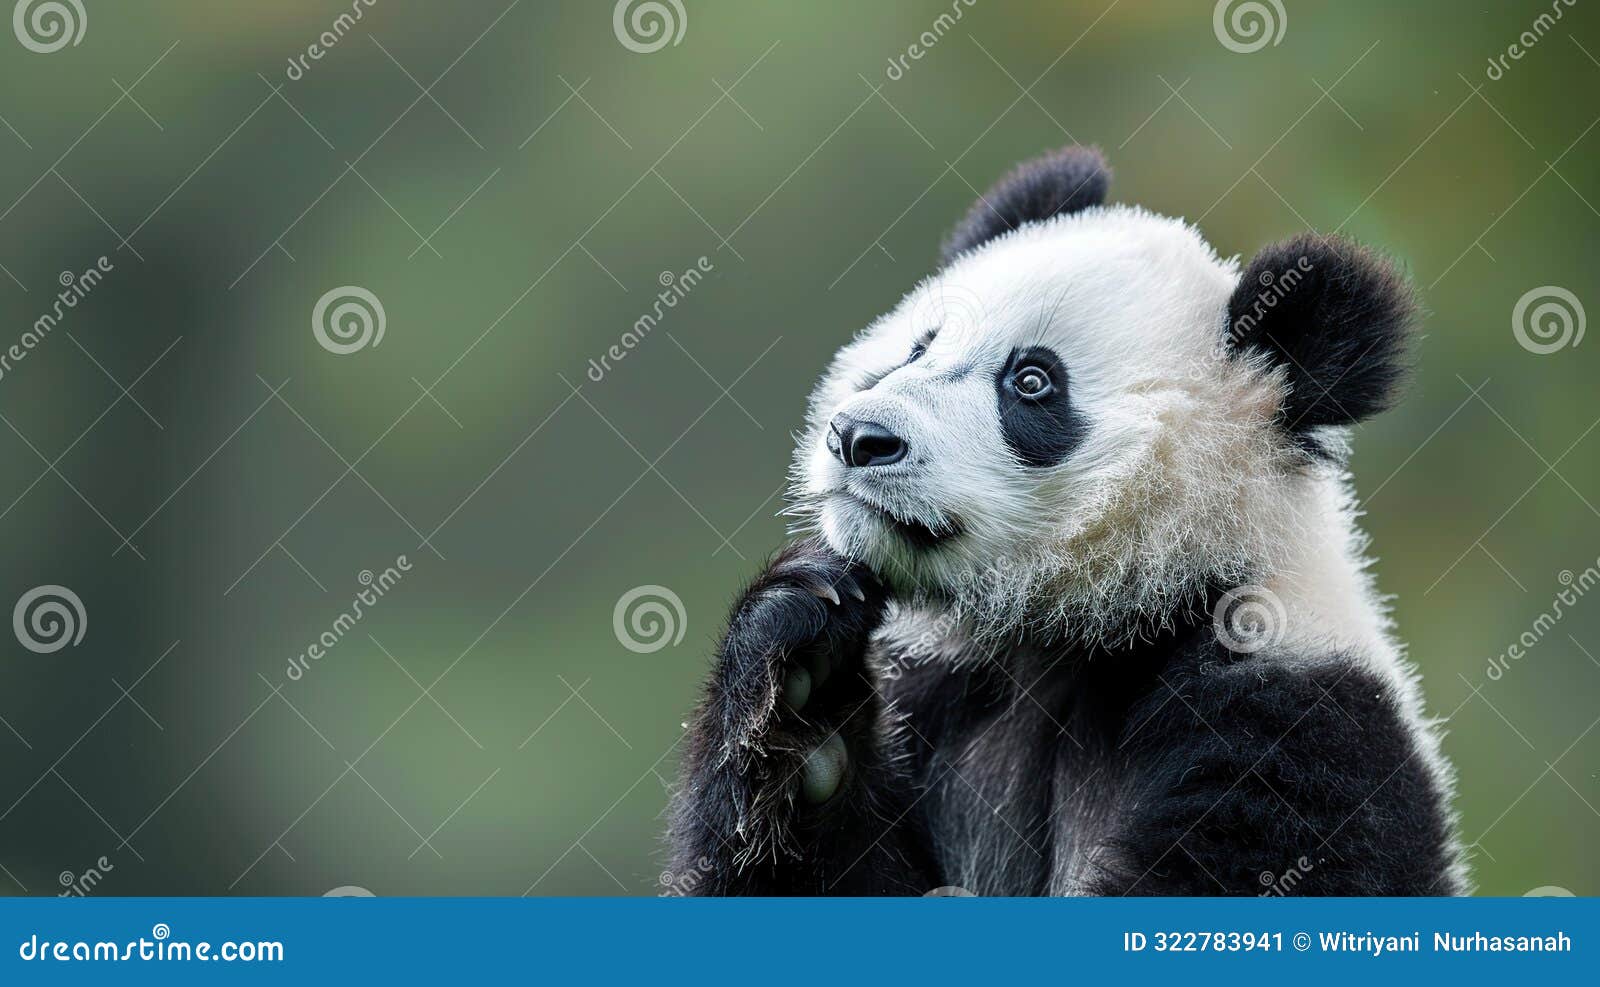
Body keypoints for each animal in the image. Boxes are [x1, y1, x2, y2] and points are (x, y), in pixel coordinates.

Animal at [666, 146, 1467, 896]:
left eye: (1032, 381)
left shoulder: (1298, 724)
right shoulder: (940, 690)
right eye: (920, 346)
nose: (859, 437)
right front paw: (802, 682)